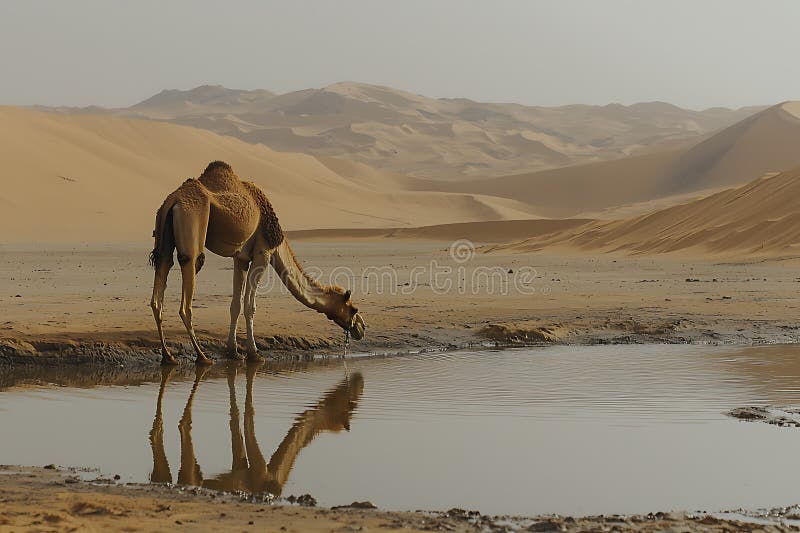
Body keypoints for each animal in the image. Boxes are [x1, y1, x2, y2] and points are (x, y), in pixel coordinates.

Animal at [149, 161, 366, 366]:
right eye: (353, 309)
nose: (361, 328)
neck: (278, 245)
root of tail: (174, 200)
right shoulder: (263, 254)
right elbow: (249, 306)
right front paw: (254, 354)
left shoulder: (241, 259)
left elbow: (235, 305)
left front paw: (234, 352)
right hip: (192, 224)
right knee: (186, 294)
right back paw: (202, 357)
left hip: (163, 231)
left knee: (159, 287)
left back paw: (168, 356)